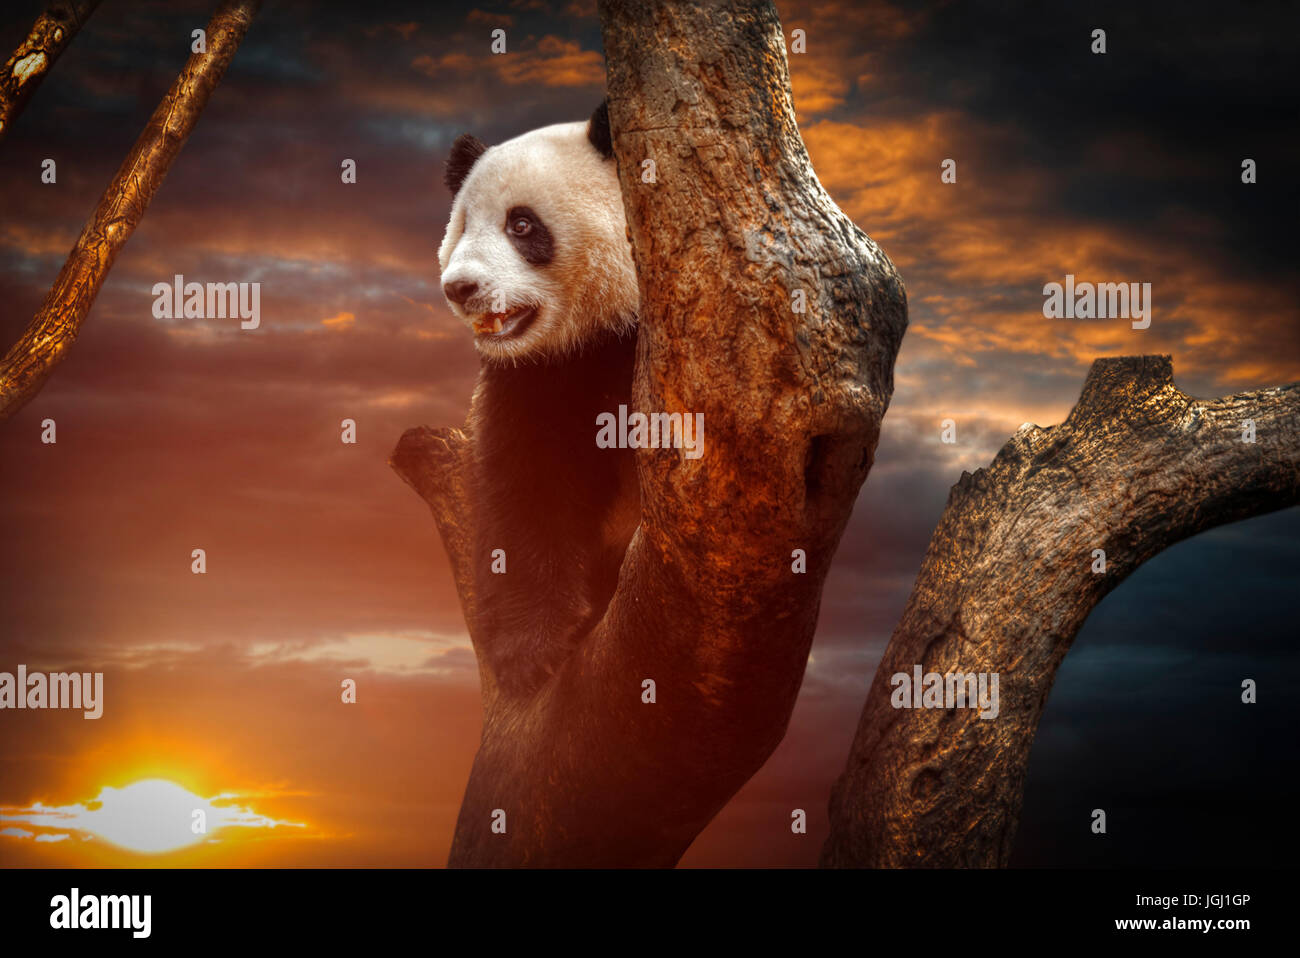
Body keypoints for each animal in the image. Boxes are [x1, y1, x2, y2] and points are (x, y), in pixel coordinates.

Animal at [438, 102, 640, 697]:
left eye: (521, 224)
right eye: (462, 226)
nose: (460, 288)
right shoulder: (536, 376)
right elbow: (531, 487)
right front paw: (526, 650)